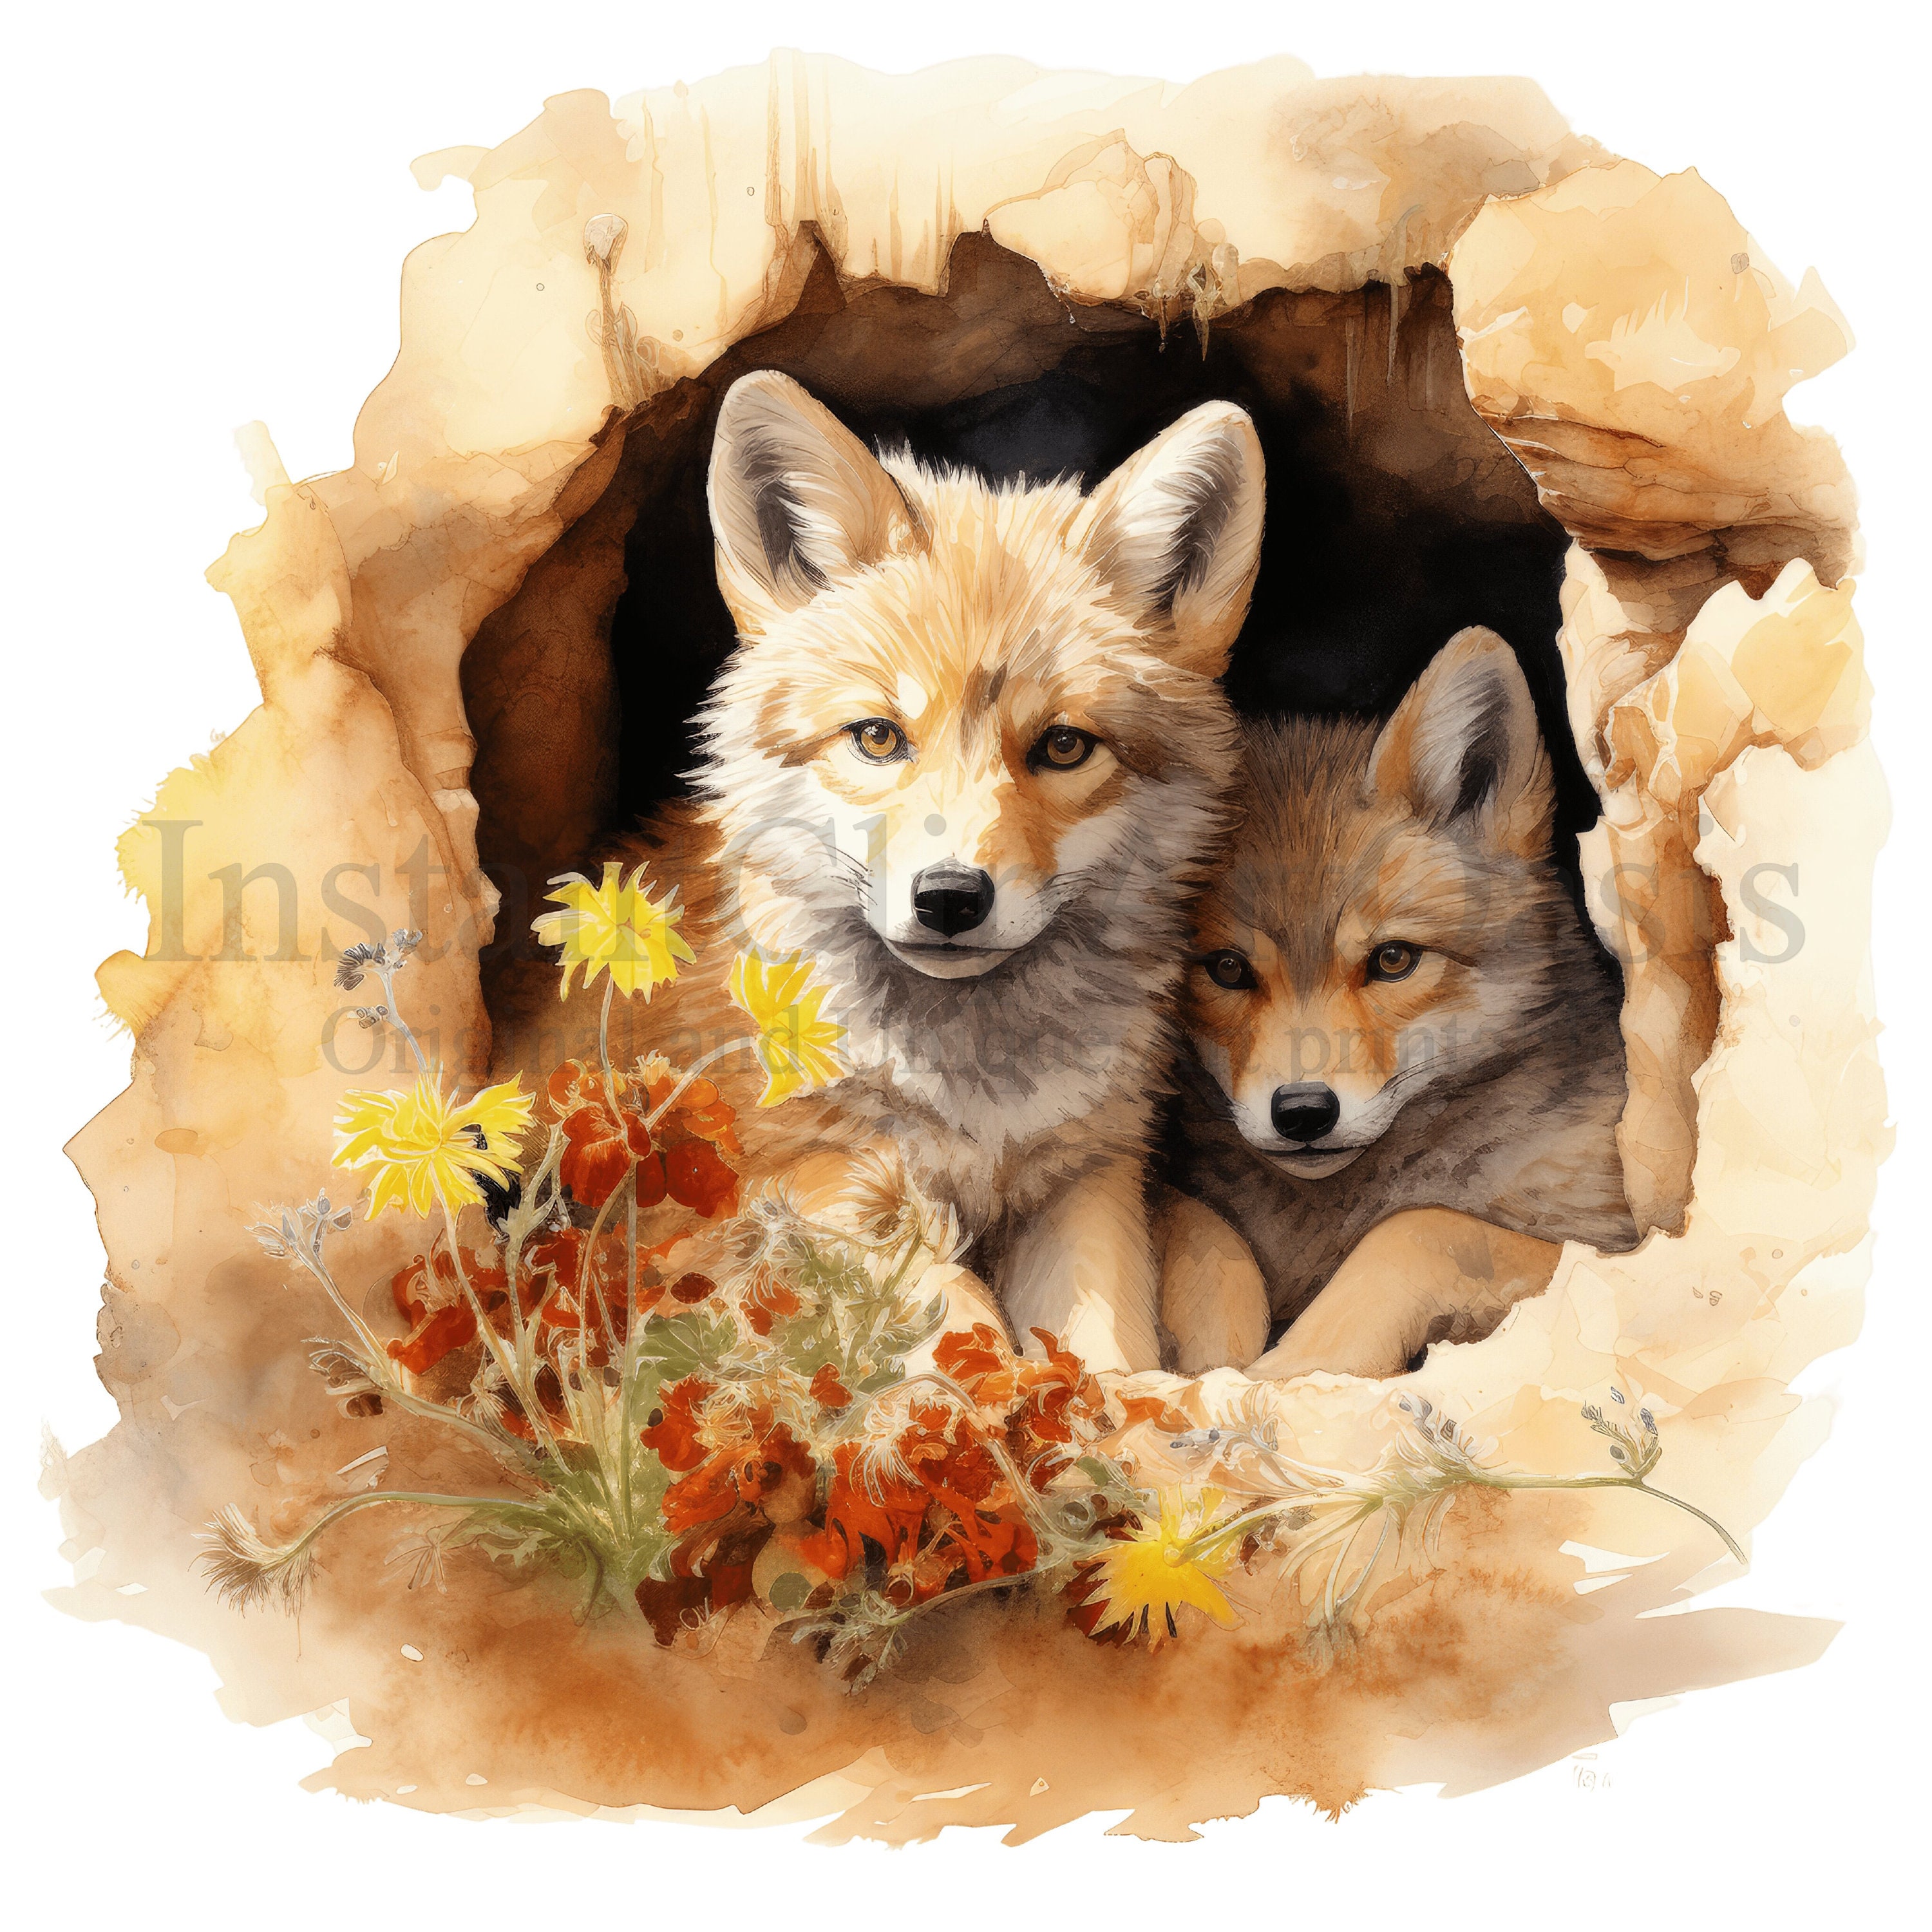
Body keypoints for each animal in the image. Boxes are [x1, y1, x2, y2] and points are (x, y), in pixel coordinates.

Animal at [495, 371, 1267, 1374]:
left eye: (1063, 746)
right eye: (877, 737)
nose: (950, 898)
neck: (972, 1096)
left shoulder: (1084, 1180)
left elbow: (1105, 1351)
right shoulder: (822, 1183)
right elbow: (962, 1327)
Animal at [1158, 627, 1637, 1374]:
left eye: (1392, 960)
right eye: (1228, 969)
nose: (1302, 1112)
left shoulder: (1624, 1243)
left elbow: (1419, 1230)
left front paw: (1294, 1371)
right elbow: (1206, 1239)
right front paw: (1214, 1366)